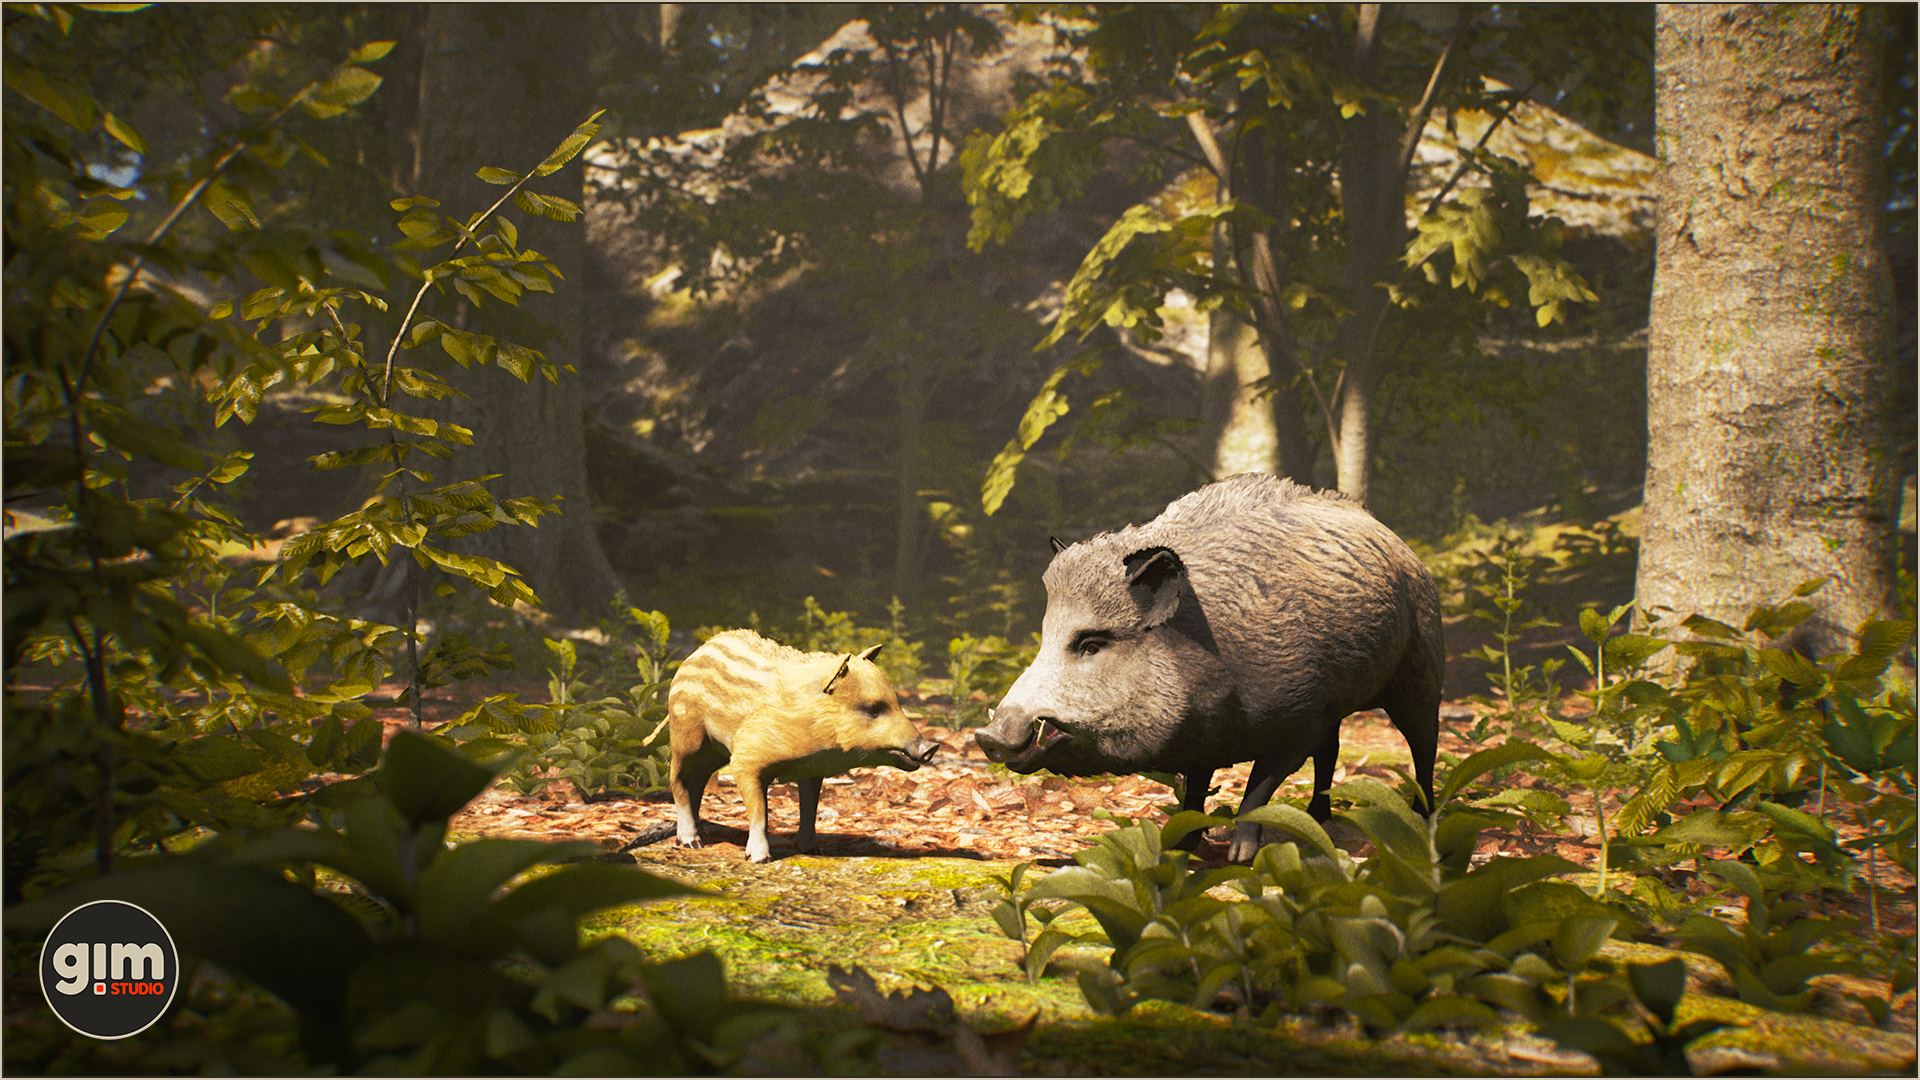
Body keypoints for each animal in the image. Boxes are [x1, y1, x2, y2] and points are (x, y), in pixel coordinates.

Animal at [668, 630, 940, 862]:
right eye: (872, 709)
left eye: (897, 703)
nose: (931, 747)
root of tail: (695, 653)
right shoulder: (746, 759)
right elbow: (760, 811)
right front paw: (761, 859)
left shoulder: (811, 770)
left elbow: (809, 808)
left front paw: (814, 851)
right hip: (688, 735)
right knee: (677, 779)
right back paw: (692, 843)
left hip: (716, 750)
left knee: (698, 780)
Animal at [974, 473, 1443, 862]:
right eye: (1044, 636)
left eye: (1091, 644)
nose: (988, 735)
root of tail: (1395, 537)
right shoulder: (1209, 734)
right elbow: (1197, 788)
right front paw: (1178, 847)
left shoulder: (1302, 715)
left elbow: (1259, 785)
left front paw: (1240, 858)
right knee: (1333, 751)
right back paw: (1320, 821)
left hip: (1421, 669)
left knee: (1423, 742)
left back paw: (1422, 821)